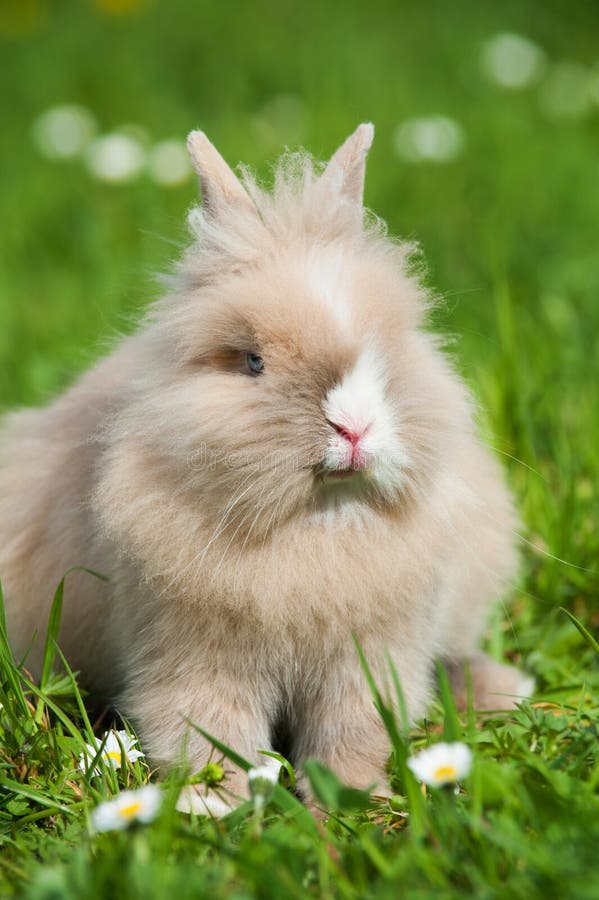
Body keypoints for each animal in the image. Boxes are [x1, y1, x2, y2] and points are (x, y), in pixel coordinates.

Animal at [0, 123, 532, 808]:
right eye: (253, 361)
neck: (317, 523)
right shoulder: (192, 661)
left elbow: (354, 733)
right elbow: (207, 733)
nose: (353, 426)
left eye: (386, 348)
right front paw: (215, 804)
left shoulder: (370, 661)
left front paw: (348, 800)